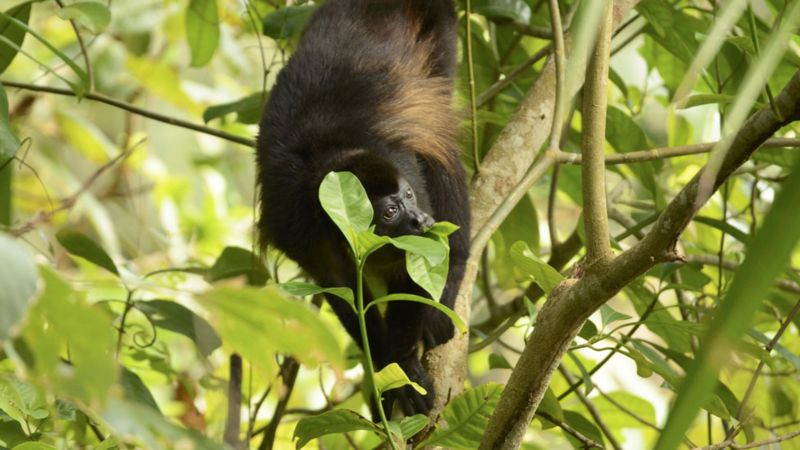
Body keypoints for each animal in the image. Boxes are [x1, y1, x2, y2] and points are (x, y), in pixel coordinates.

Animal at [256, 0, 469, 417]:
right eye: (389, 212)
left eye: (408, 196)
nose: (420, 219)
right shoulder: (296, 229)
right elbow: (346, 295)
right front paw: (389, 373)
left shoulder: (402, 167)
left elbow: (415, 267)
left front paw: (404, 364)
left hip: (439, 24)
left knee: (440, 139)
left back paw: (449, 282)